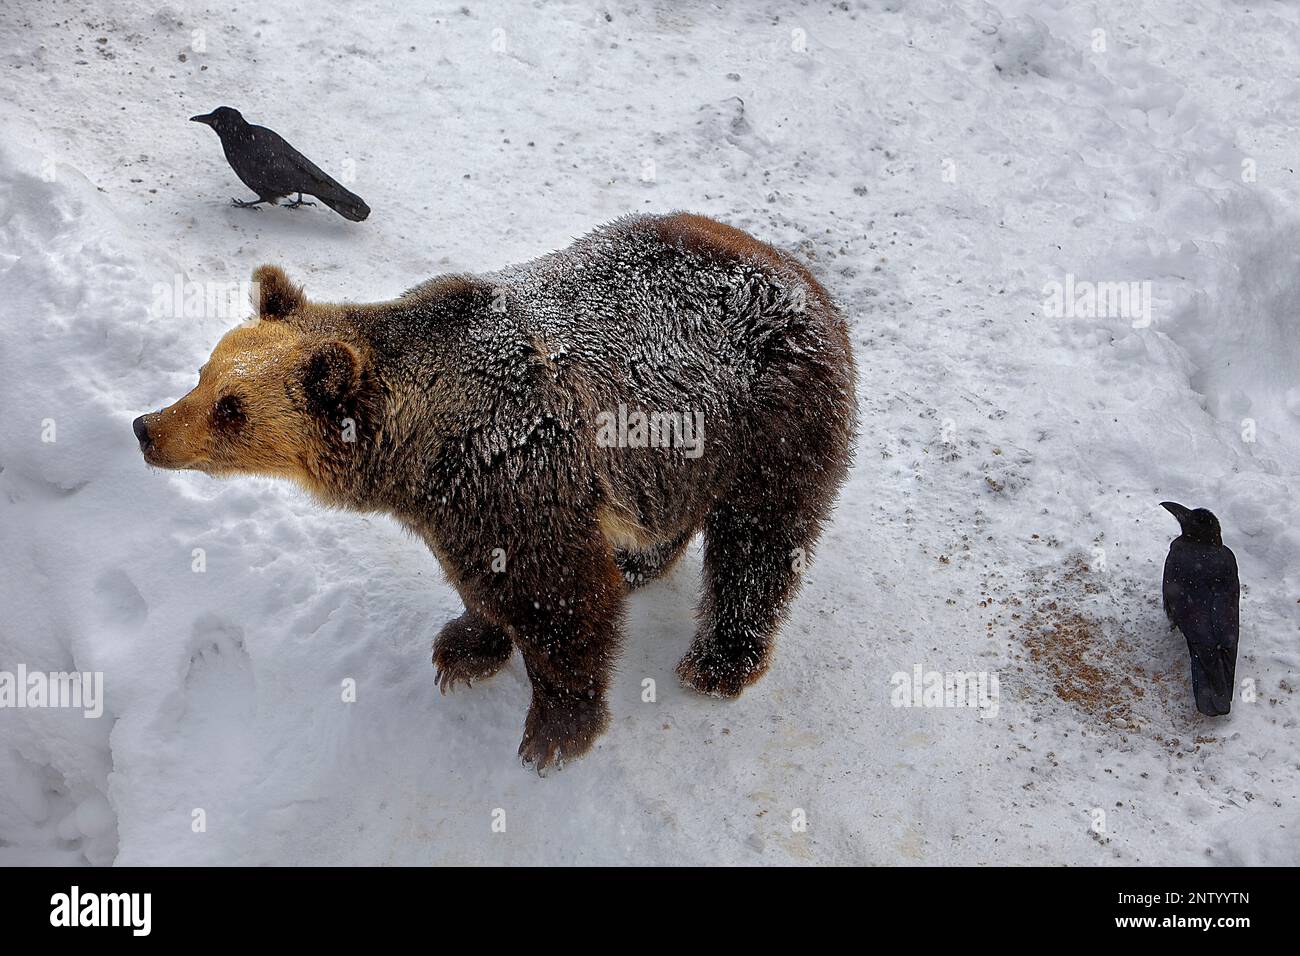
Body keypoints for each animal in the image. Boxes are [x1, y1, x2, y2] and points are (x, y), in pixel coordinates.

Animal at [133, 212, 858, 771]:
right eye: (205, 373)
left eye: (231, 409)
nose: (147, 429)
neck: (424, 446)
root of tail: (804, 277)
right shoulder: (457, 506)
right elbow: (482, 584)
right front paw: (463, 646)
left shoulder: (519, 475)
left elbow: (561, 600)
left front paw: (555, 732)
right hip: (682, 450)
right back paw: (639, 561)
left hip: (769, 426)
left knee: (759, 543)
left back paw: (718, 662)